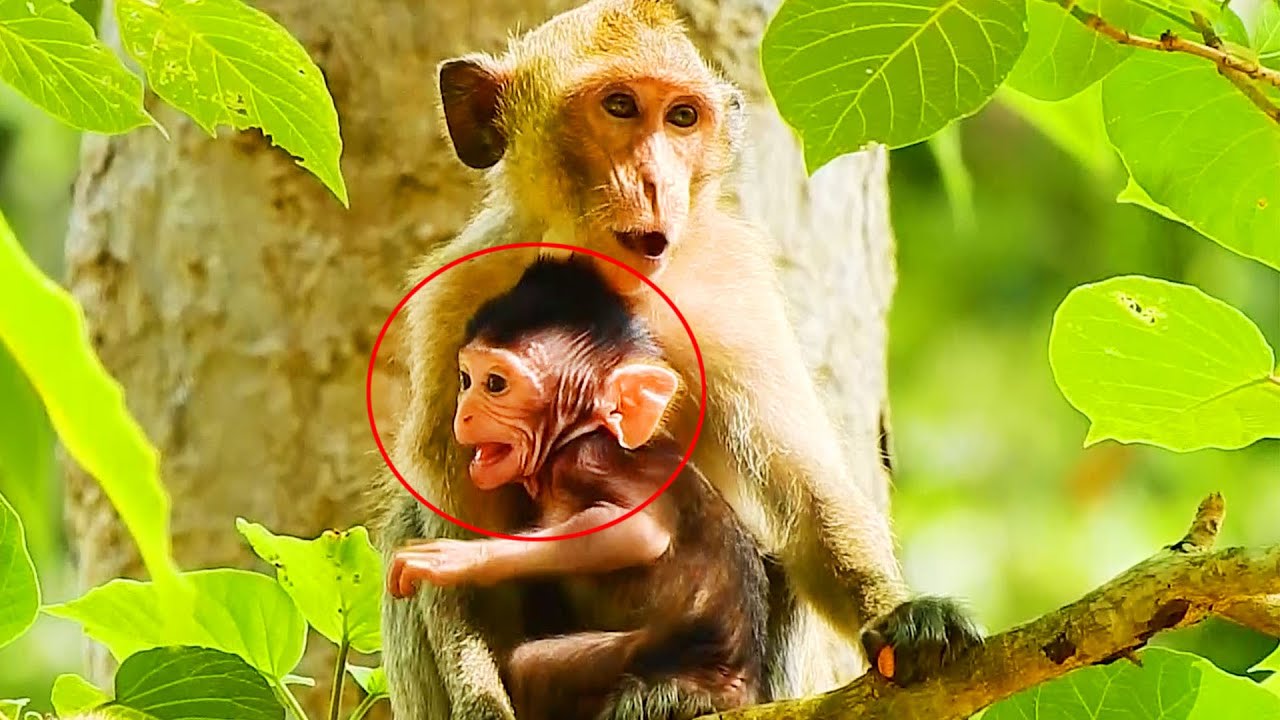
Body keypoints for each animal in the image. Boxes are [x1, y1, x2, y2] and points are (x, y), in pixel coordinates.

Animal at [387, 256, 770, 720]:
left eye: (495, 384)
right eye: (466, 380)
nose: (464, 414)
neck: (575, 433)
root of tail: (741, 689)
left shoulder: (584, 460)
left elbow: (638, 532)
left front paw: (461, 559)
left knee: (533, 667)